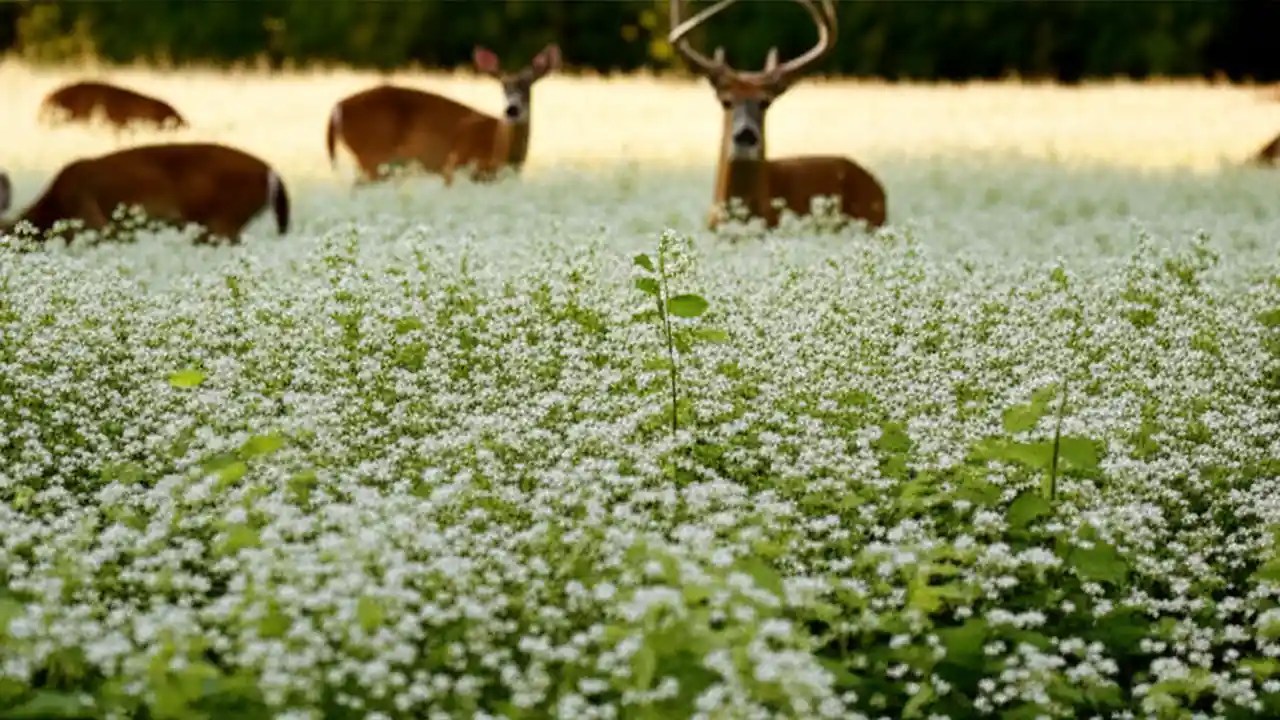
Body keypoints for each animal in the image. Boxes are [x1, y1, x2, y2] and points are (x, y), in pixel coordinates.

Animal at [325, 43, 561, 185]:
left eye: (528, 85)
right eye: (503, 85)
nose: (512, 109)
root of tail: (336, 109)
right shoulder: (454, 164)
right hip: (372, 155)